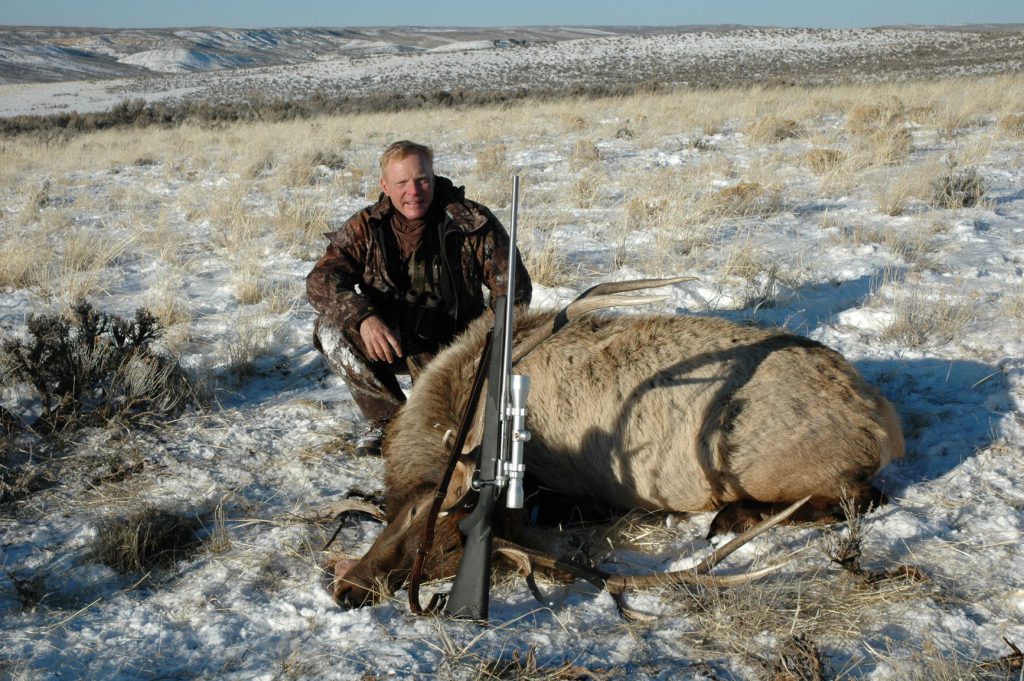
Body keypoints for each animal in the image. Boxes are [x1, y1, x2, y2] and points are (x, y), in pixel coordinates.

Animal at [327, 280, 905, 606]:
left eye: (449, 551)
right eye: (408, 517)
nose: (347, 590)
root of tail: (883, 421)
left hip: (761, 462)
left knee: (862, 496)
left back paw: (732, 517)